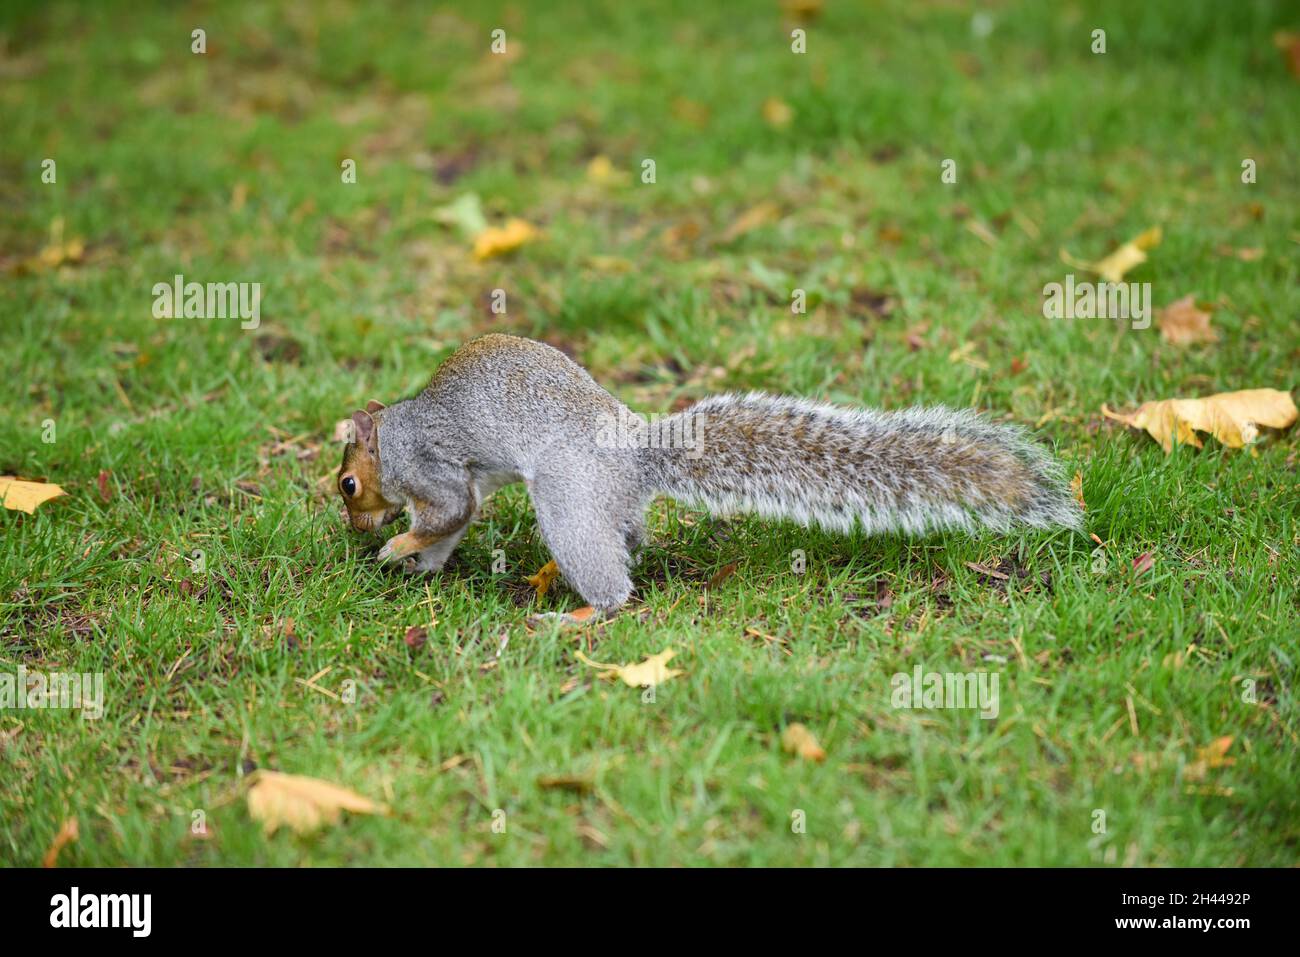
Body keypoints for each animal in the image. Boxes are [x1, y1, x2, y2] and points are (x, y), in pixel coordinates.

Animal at [338, 334, 1082, 618]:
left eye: (347, 485)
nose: (351, 522)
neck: (395, 432)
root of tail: (634, 453)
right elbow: (452, 526)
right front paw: (420, 566)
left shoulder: (430, 469)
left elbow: (445, 513)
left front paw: (394, 548)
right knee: (627, 539)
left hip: (567, 499)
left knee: (613, 584)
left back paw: (576, 614)